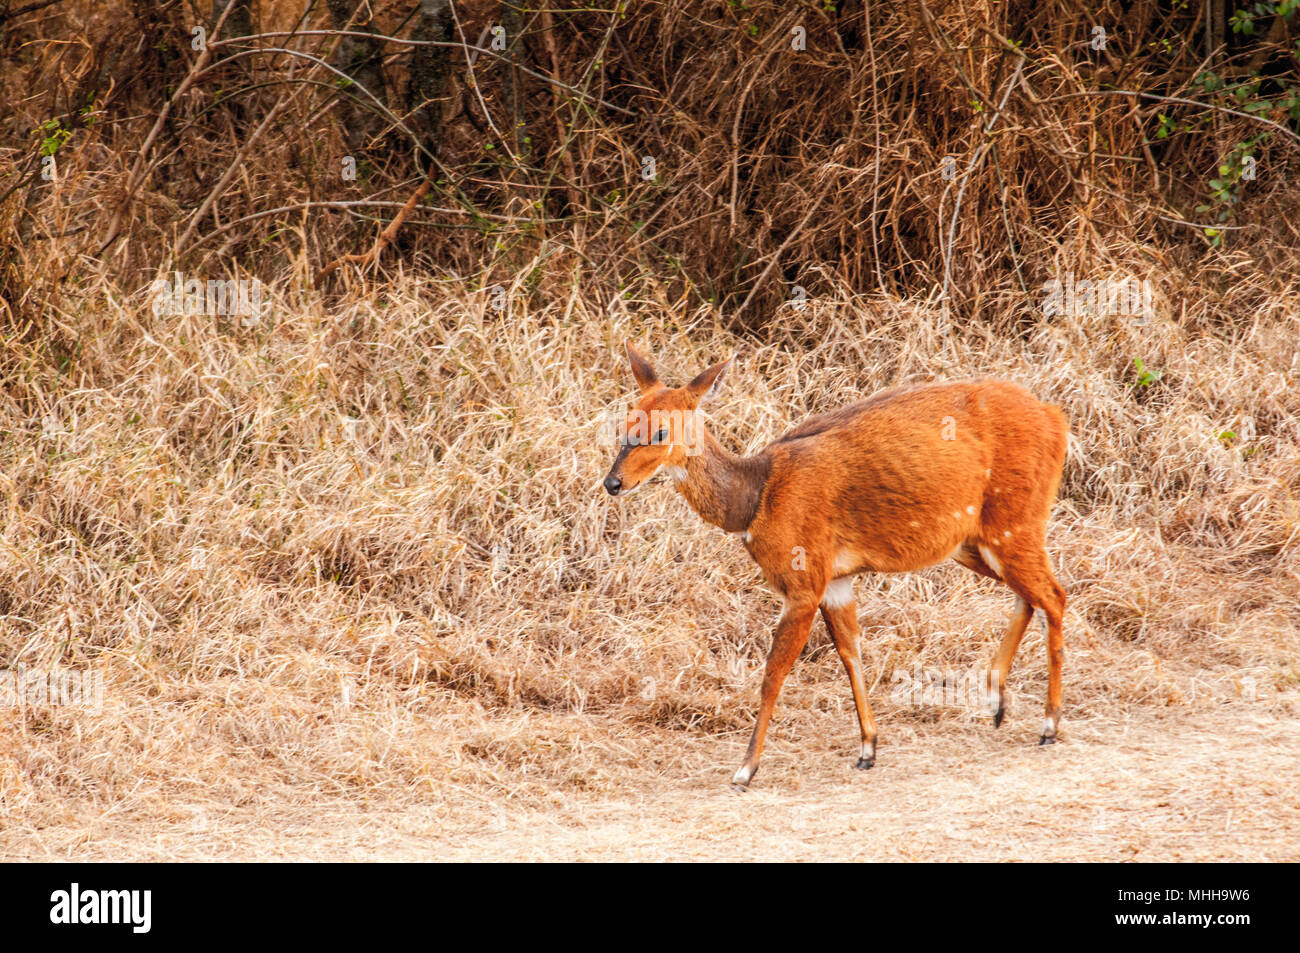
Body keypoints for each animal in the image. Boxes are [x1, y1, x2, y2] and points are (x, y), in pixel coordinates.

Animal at [603, 344, 1069, 790]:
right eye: (625, 426)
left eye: (660, 431)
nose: (612, 483)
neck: (756, 497)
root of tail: (1055, 418)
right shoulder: (837, 582)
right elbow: (850, 654)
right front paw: (867, 750)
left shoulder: (804, 583)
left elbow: (774, 671)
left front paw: (745, 770)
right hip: (973, 544)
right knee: (1031, 596)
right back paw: (997, 704)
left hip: (1013, 526)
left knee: (1055, 596)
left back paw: (1048, 726)